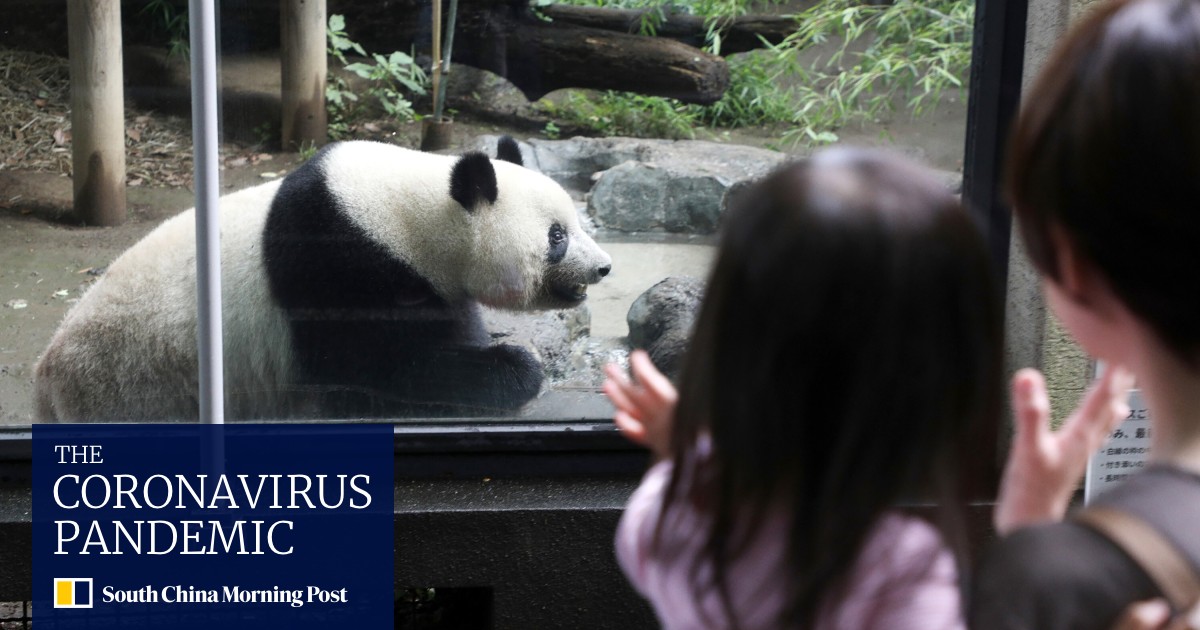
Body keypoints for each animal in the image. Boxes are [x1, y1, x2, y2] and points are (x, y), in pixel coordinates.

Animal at [34, 136, 612, 421]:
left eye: (575, 222)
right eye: (557, 236)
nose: (603, 267)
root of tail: (47, 372)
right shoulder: (338, 267)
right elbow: (380, 371)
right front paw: (512, 367)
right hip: (127, 383)